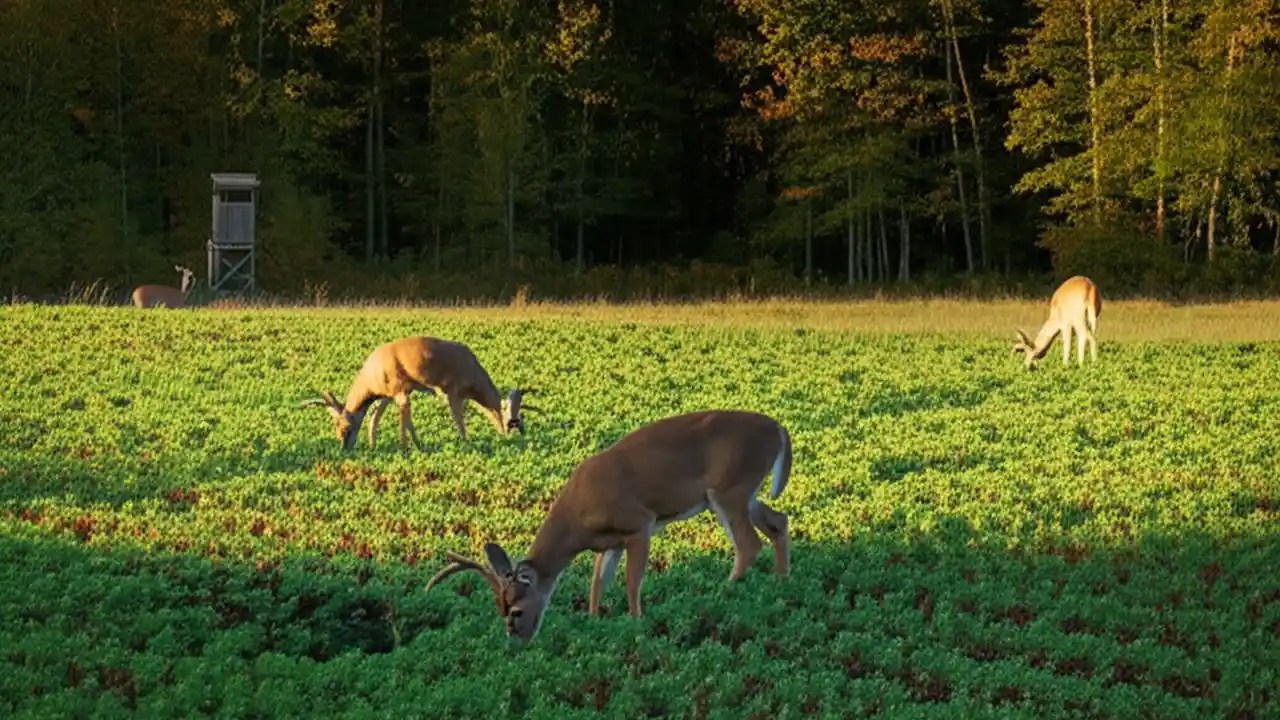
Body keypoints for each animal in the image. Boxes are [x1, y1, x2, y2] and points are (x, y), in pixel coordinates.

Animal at [300, 336, 530, 452]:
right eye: (337, 426)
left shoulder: (401, 391)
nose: (344, 448)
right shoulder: (394, 394)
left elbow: (404, 418)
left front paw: (409, 447)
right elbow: (385, 418)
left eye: (344, 426)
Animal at [424, 410, 792, 645]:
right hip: (743, 492)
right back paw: (780, 582)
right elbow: (597, 583)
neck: (578, 519)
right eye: (499, 609)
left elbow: (631, 581)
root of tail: (778, 428)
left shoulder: (640, 522)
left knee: (748, 543)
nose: (516, 641)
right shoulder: (610, 542)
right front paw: (593, 621)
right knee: (778, 522)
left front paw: (636, 625)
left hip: (730, 487)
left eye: (516, 610)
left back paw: (724, 592)